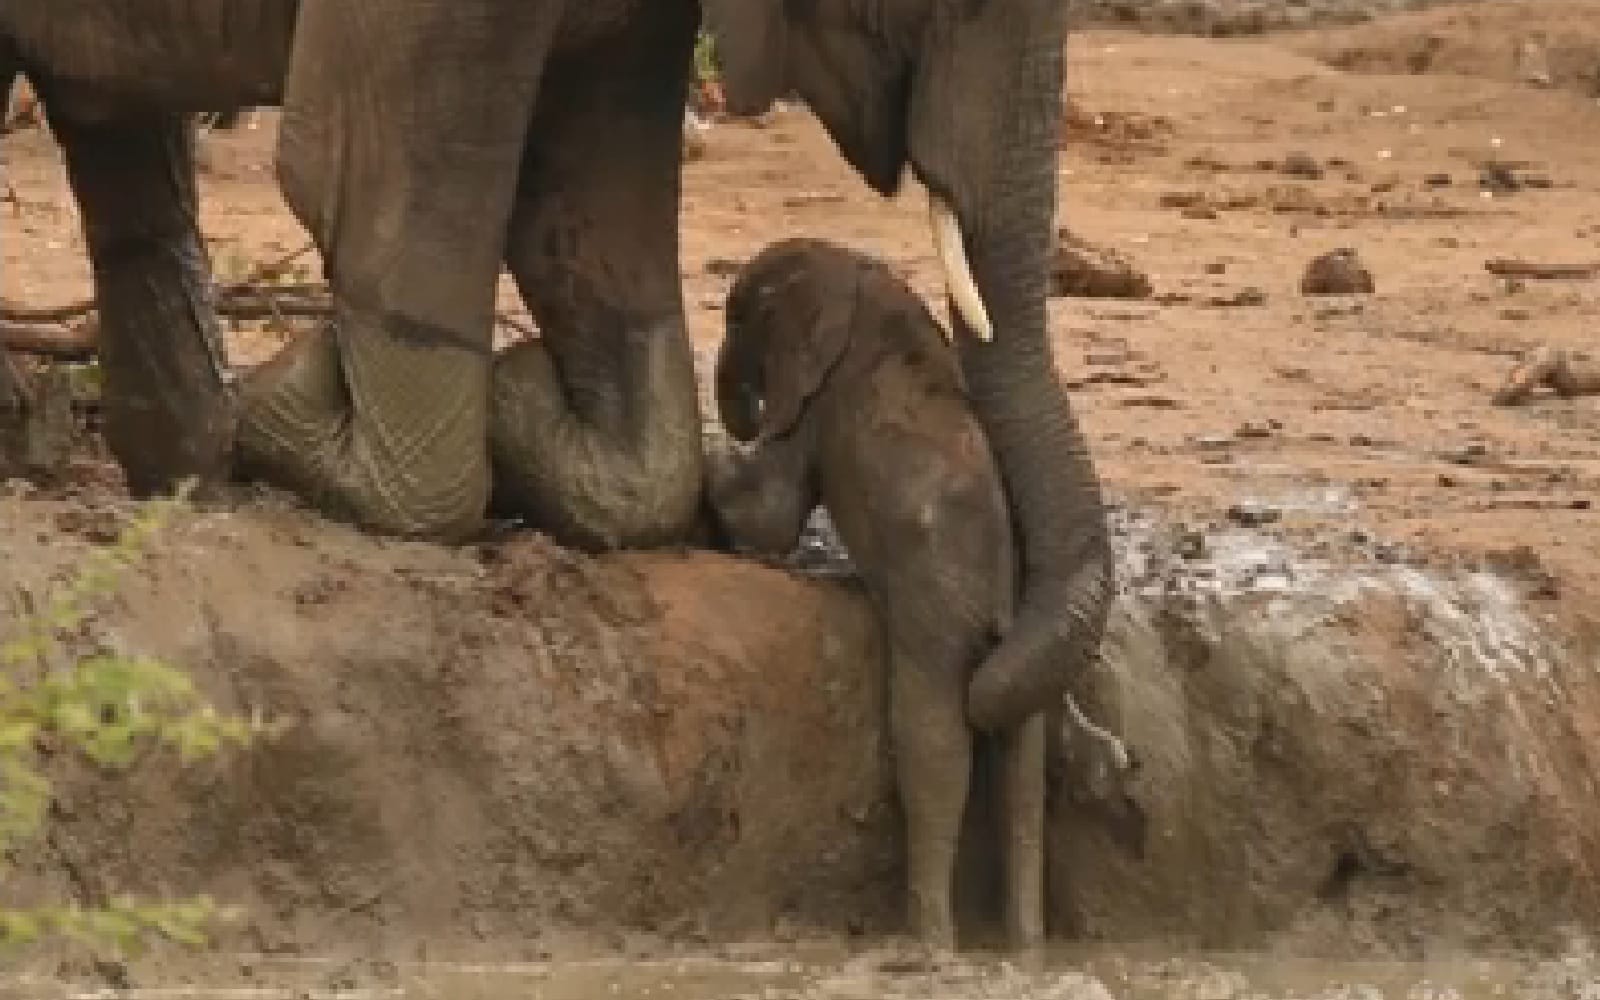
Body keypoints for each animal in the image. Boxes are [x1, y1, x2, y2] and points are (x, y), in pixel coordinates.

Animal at [4, 0, 1110, 734]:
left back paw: (192, 480)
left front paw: (526, 400)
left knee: (117, 138)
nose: (985, 672)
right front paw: (295, 395)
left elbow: (590, 205)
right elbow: (390, 207)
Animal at [705, 238, 1130, 949]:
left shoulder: (822, 400)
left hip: (939, 606)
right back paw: (1024, 951)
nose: (740, 416)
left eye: (738, 317)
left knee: (932, 737)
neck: (859, 270)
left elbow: (771, 514)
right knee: (1023, 767)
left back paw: (931, 944)